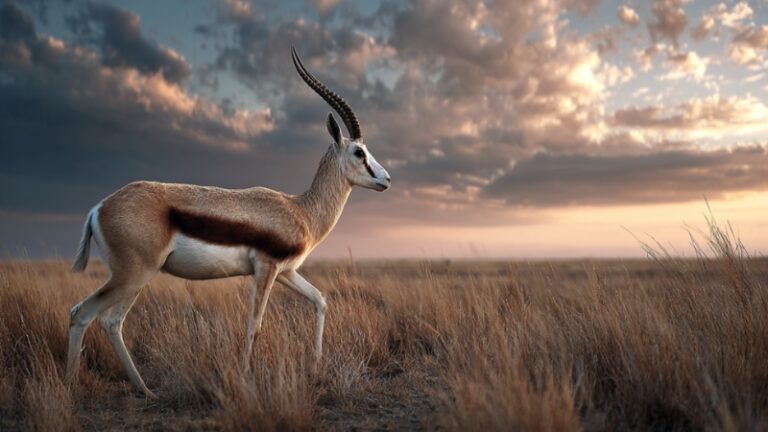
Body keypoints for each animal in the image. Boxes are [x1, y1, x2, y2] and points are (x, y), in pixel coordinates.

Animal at [65, 47, 391, 398]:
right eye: (359, 152)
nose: (386, 179)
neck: (301, 209)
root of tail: (99, 207)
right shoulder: (266, 268)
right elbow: (254, 325)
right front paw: (246, 378)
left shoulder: (286, 271)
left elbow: (320, 300)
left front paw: (315, 365)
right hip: (134, 275)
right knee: (84, 314)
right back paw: (75, 387)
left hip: (136, 278)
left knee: (108, 321)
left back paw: (144, 390)